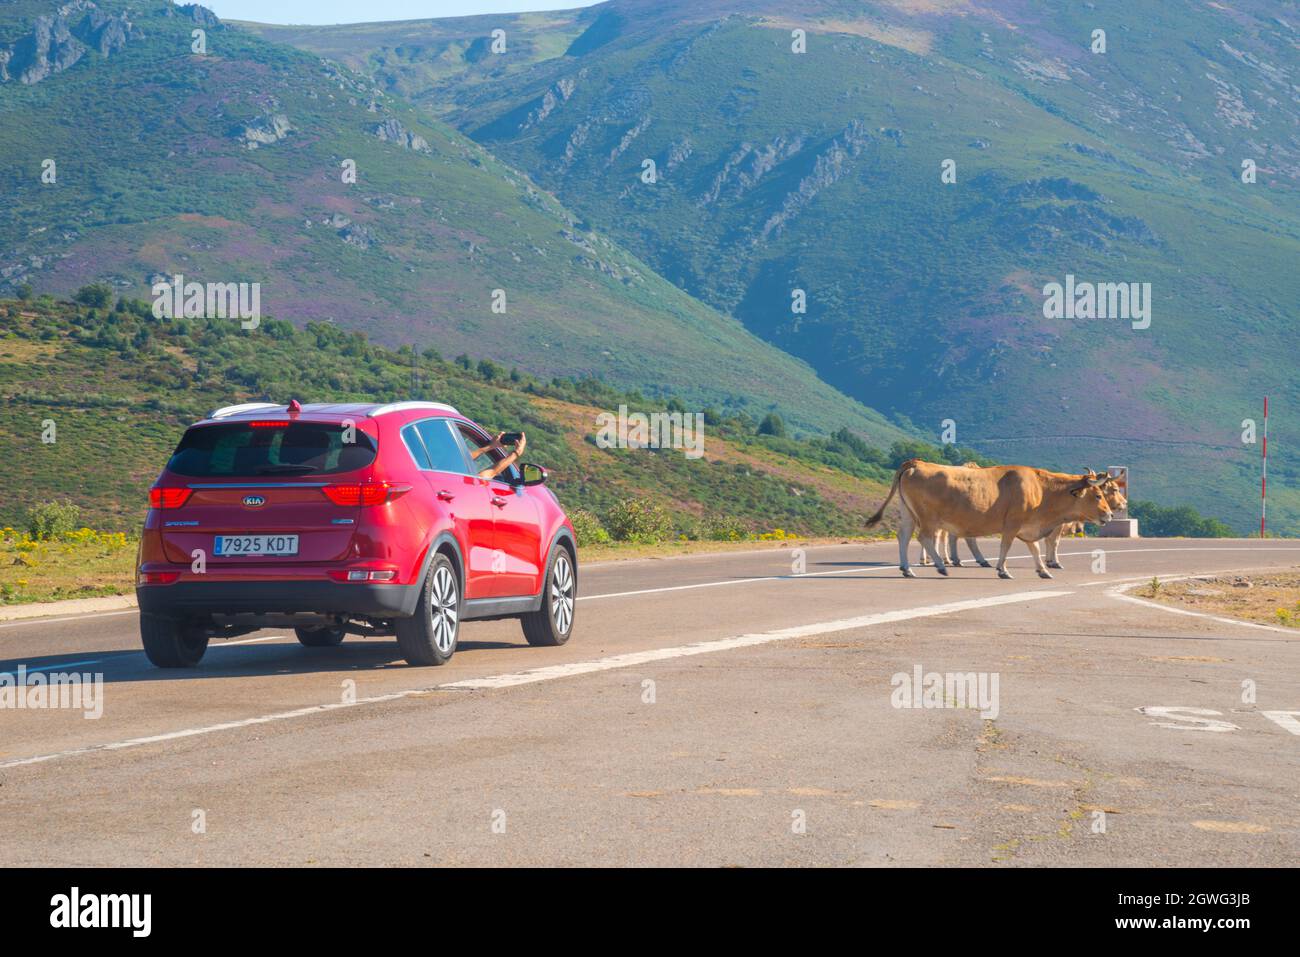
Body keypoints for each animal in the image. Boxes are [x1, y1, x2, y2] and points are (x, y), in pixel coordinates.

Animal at [867, 460, 1119, 579]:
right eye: (1098, 495)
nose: (1110, 514)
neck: (1041, 489)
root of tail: (916, 462)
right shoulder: (1013, 524)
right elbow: (1006, 546)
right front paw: (1003, 570)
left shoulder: (1028, 526)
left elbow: (1035, 548)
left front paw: (1043, 571)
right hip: (927, 517)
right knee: (925, 538)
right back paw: (940, 566)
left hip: (908, 514)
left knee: (903, 536)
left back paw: (907, 569)